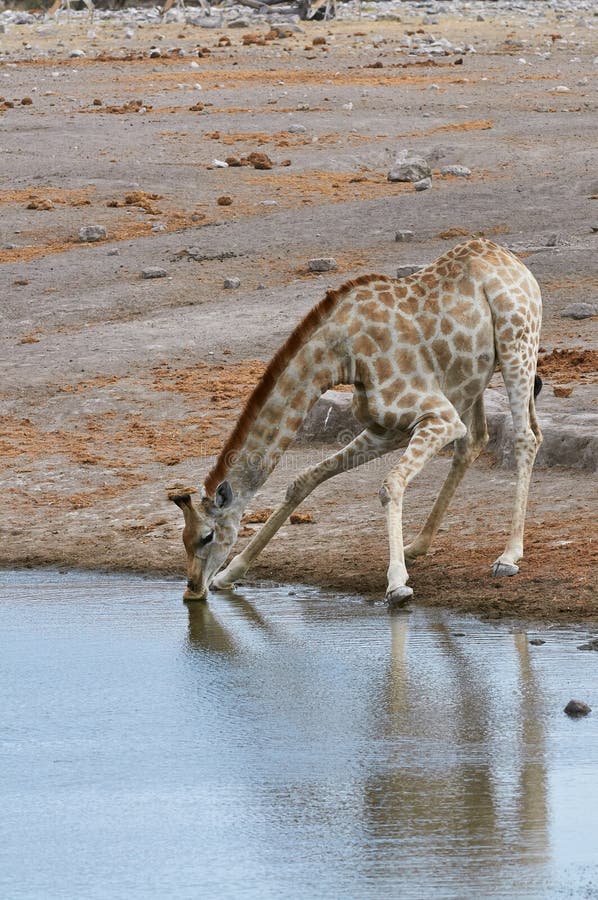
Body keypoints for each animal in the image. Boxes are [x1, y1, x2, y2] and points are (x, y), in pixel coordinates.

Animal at [170, 238, 543, 606]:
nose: (192, 589)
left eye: (207, 536)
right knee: (475, 440)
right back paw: (417, 546)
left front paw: (397, 583)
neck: (343, 356)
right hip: (471, 379)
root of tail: (508, 257)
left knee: (526, 436)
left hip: (516, 344)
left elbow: (390, 484)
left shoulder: (439, 416)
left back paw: (508, 555)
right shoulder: (386, 428)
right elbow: (305, 478)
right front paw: (231, 573)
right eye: (183, 537)